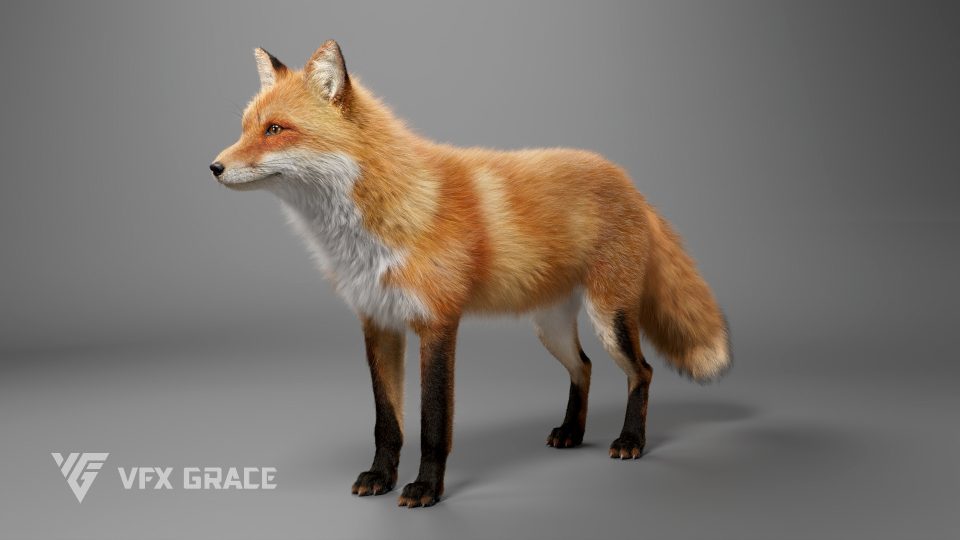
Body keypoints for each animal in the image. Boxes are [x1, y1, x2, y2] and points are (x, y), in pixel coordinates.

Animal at [210, 41, 730, 508]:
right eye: (245, 128)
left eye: (275, 129)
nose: (213, 167)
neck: (377, 224)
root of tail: (629, 181)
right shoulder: (378, 324)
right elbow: (387, 421)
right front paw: (381, 477)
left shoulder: (437, 323)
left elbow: (433, 423)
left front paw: (426, 489)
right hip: (551, 327)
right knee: (583, 366)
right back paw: (572, 432)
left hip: (610, 320)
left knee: (641, 372)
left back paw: (631, 440)